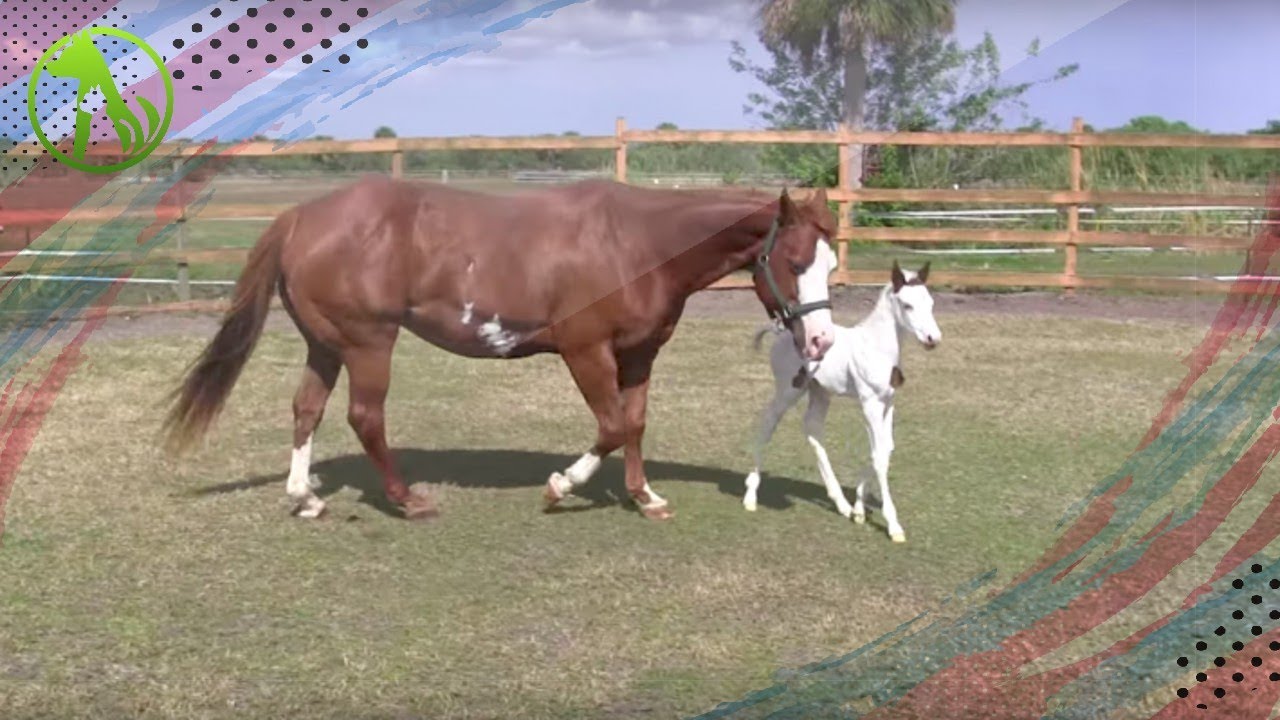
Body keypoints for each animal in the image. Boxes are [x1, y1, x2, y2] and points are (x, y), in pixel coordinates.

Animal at [162, 175, 840, 522]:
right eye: (794, 261)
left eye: (831, 264)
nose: (821, 339)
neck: (636, 242)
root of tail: (300, 216)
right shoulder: (585, 351)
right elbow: (611, 426)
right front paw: (560, 486)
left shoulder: (640, 355)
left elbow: (635, 423)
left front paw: (644, 496)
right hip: (368, 342)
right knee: (365, 417)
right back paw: (407, 500)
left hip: (325, 344)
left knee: (307, 409)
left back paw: (305, 497)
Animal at [742, 261, 941, 542]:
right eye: (907, 305)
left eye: (930, 302)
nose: (933, 339)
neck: (876, 348)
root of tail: (781, 333)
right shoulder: (869, 403)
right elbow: (879, 455)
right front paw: (893, 525)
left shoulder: (888, 402)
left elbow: (885, 448)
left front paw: (858, 508)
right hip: (788, 390)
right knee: (768, 423)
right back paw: (750, 495)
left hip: (820, 392)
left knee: (812, 429)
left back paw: (841, 504)